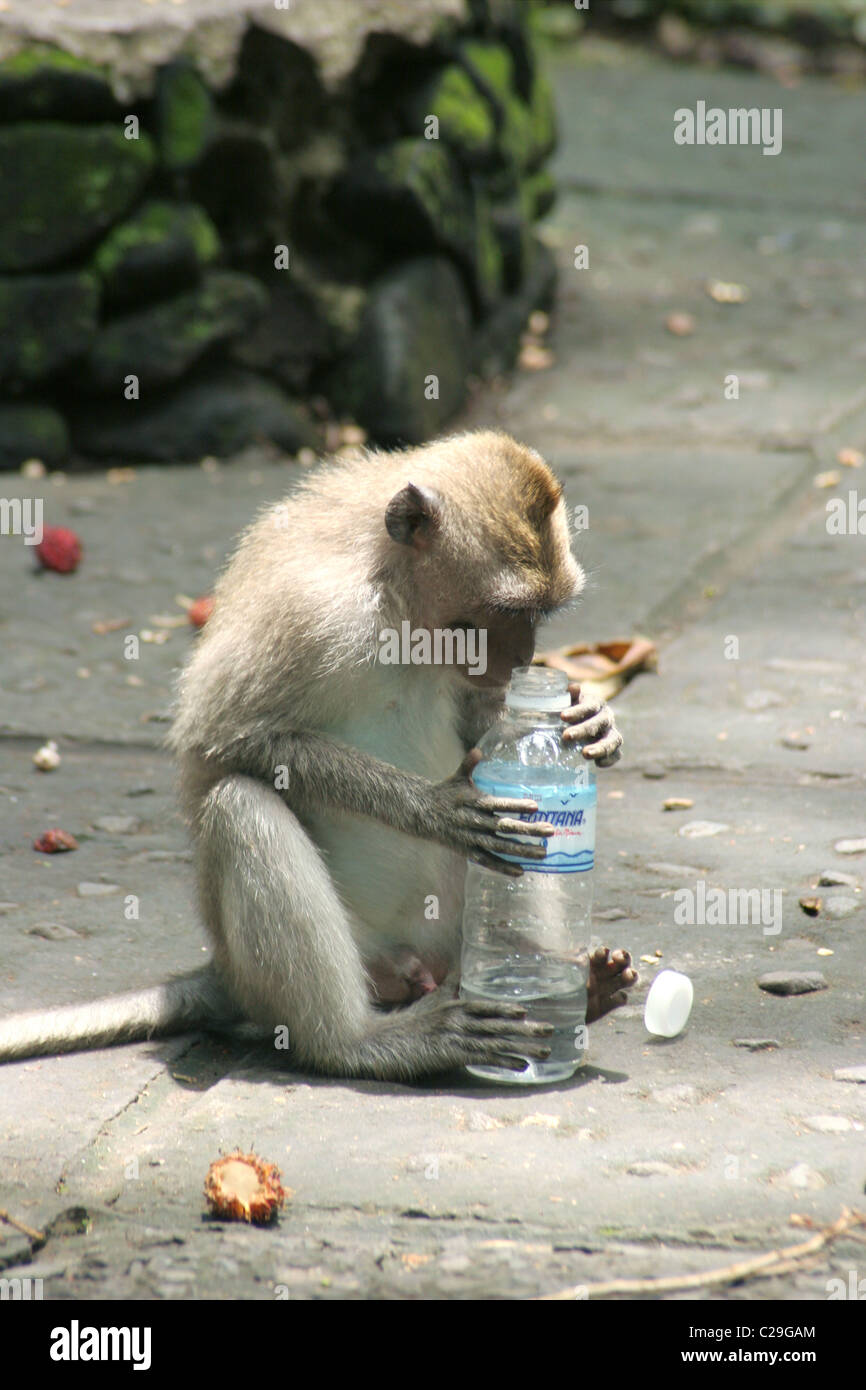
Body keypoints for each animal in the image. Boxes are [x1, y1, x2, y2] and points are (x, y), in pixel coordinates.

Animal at [0, 431, 634, 1080]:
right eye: (507, 612)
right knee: (240, 805)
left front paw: (592, 716)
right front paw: (433, 809)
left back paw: (580, 988)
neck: (396, 602)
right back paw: (361, 1042)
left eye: (541, 614)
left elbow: (485, 715)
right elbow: (226, 736)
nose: (523, 659)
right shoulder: (310, 611)